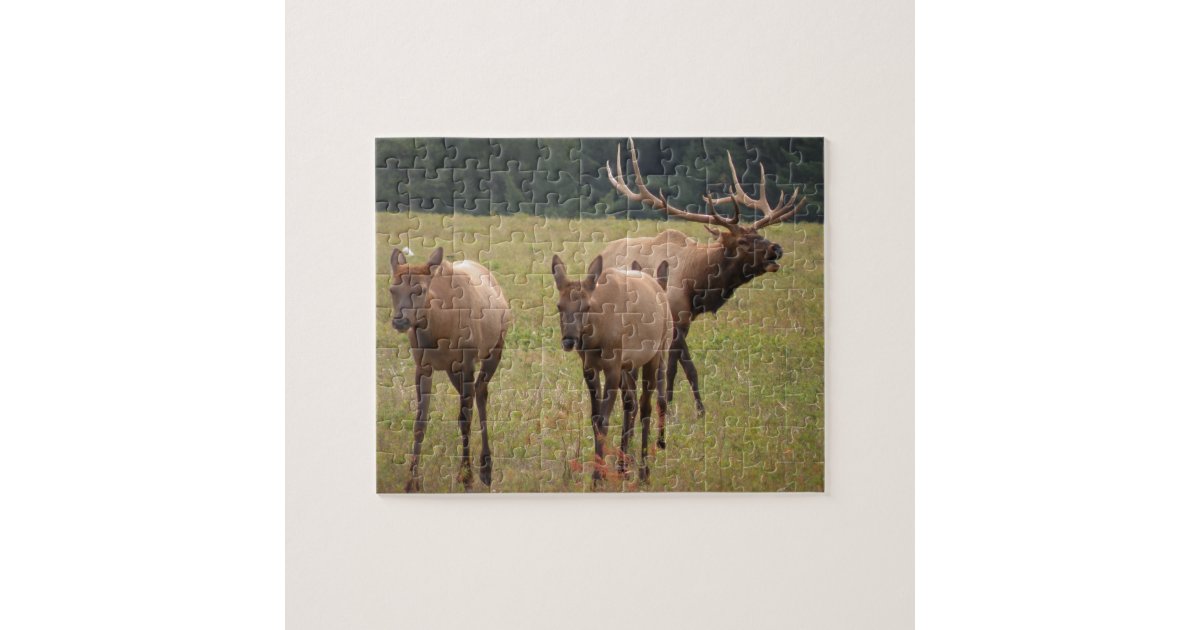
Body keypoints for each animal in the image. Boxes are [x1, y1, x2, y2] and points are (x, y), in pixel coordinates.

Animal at [389, 246, 512, 492]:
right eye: (392, 289)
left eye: (420, 288)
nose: (400, 321)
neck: (440, 330)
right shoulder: (423, 365)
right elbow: (420, 421)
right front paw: (412, 481)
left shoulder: (467, 360)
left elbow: (464, 419)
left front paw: (466, 476)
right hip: (451, 370)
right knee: (476, 392)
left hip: (494, 349)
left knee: (481, 392)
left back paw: (486, 468)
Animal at [551, 253, 672, 486]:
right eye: (560, 306)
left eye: (586, 306)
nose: (569, 340)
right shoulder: (590, 368)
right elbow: (595, 418)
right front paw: (602, 471)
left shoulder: (613, 367)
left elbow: (604, 420)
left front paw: (597, 476)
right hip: (629, 366)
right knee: (631, 403)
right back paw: (624, 466)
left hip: (656, 354)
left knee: (647, 406)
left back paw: (644, 471)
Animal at [602, 138, 806, 418]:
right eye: (743, 241)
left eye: (759, 235)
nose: (777, 248)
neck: (697, 283)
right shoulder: (675, 319)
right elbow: (677, 368)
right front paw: (674, 409)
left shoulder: (684, 320)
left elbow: (686, 368)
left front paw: (696, 410)